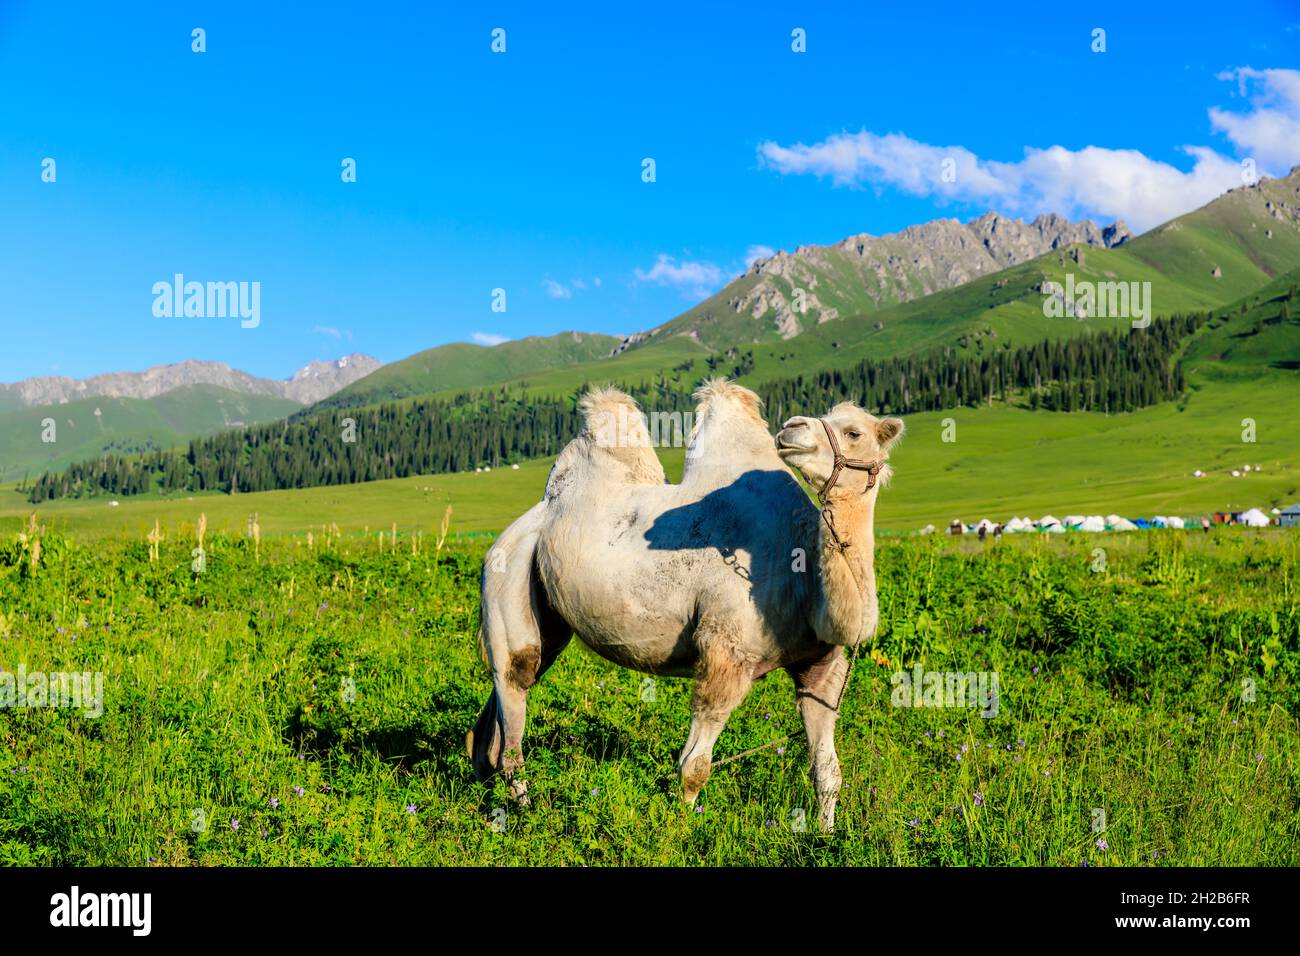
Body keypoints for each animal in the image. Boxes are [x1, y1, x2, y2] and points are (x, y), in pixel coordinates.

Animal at [468, 378, 903, 829]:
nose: (792, 428)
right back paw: (523, 809)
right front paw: (682, 830)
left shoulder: (820, 666)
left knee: (495, 716)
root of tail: (517, 528)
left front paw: (825, 833)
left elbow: (827, 768)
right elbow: (695, 766)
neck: (803, 573)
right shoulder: (725, 653)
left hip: (548, 623)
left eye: (854, 432)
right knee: (515, 683)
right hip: (506, 573)